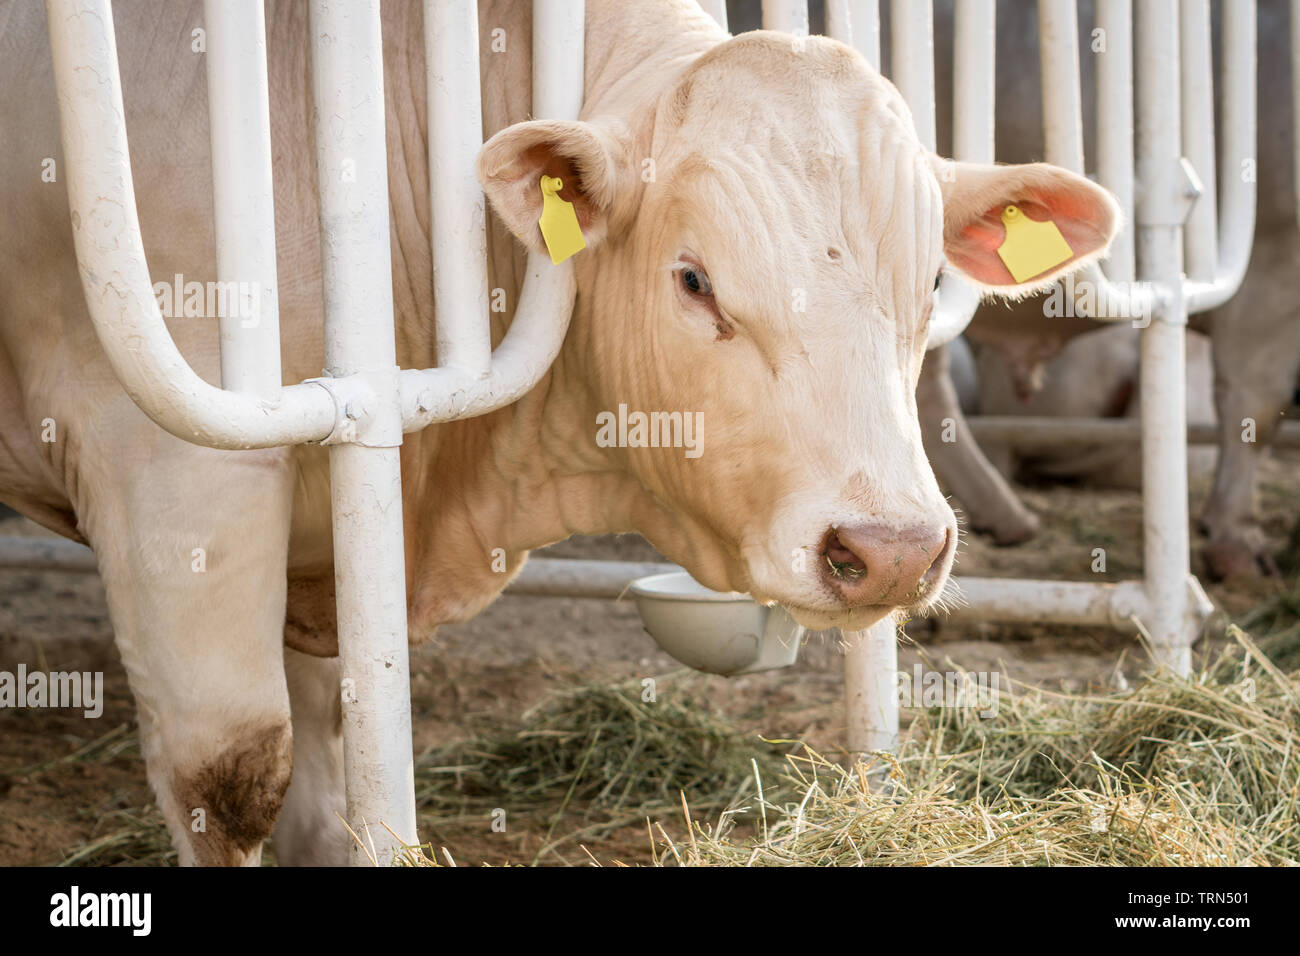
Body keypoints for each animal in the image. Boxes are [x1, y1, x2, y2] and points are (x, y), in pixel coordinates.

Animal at [0, 0, 1118, 864]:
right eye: (694, 279)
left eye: (931, 281)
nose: (891, 551)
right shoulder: (173, 471)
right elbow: (233, 772)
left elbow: (327, 754)